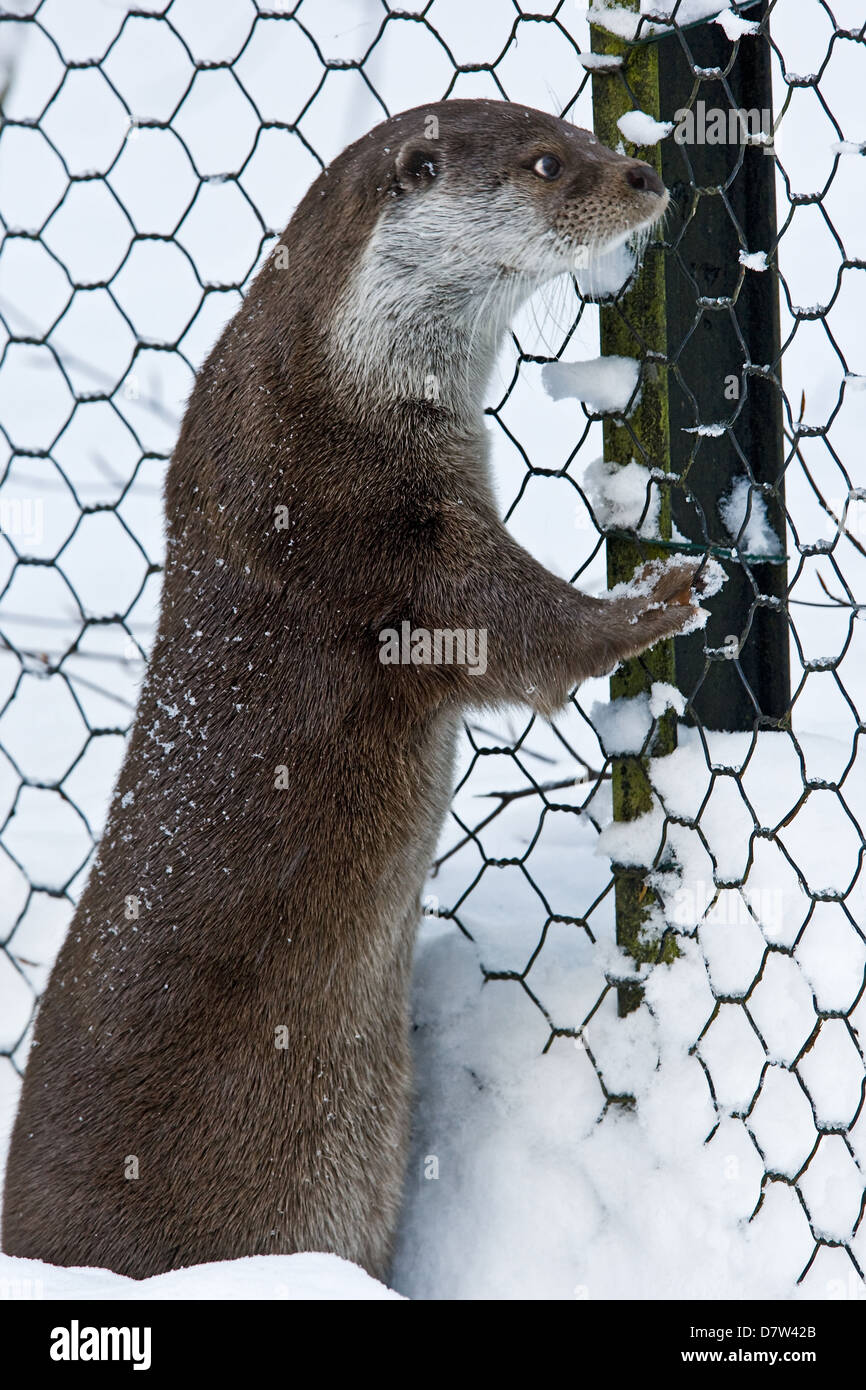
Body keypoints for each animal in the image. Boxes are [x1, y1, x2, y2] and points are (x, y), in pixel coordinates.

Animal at [3, 100, 705, 1281]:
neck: (327, 392)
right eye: (549, 162)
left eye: (577, 126)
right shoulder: (375, 535)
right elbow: (523, 638)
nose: (645, 176)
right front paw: (656, 596)